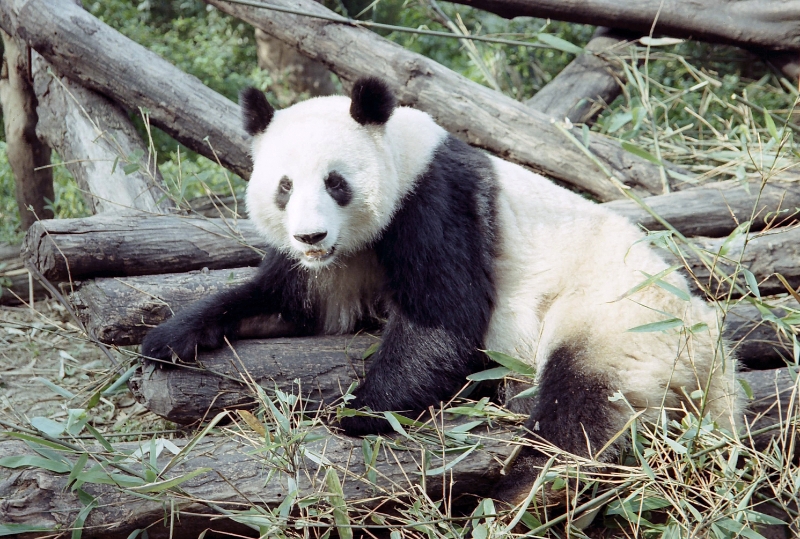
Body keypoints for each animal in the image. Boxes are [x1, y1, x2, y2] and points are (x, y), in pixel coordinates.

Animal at [142, 77, 740, 503]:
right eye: (284, 187)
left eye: (336, 183)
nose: (310, 237)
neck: (401, 148)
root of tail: (710, 353)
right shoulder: (343, 257)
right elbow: (294, 306)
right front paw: (169, 338)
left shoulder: (435, 202)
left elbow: (442, 323)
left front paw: (357, 412)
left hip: (619, 319)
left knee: (580, 413)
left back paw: (520, 496)